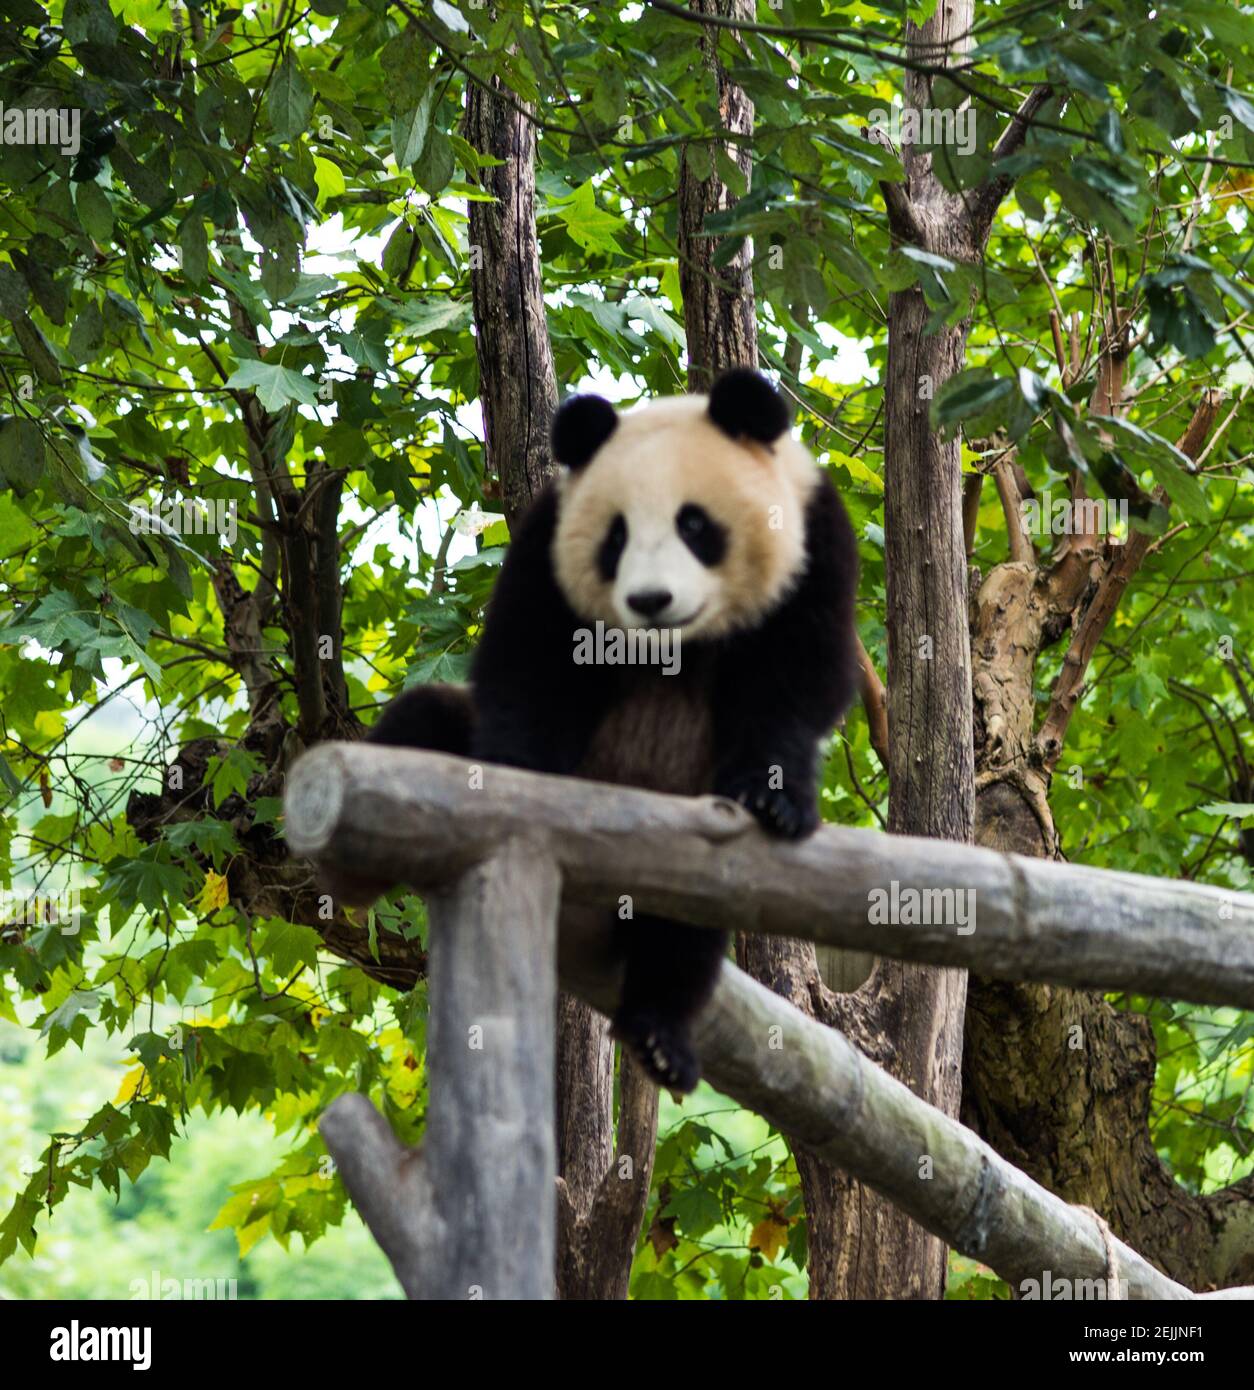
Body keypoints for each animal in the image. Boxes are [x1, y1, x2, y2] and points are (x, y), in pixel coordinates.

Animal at [365, 368, 859, 1092]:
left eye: (694, 525)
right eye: (616, 539)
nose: (651, 601)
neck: (670, 650)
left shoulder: (811, 546)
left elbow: (799, 676)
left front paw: (773, 798)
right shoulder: (547, 546)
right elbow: (531, 668)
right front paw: (522, 790)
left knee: (687, 932)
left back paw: (659, 1037)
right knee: (421, 722)